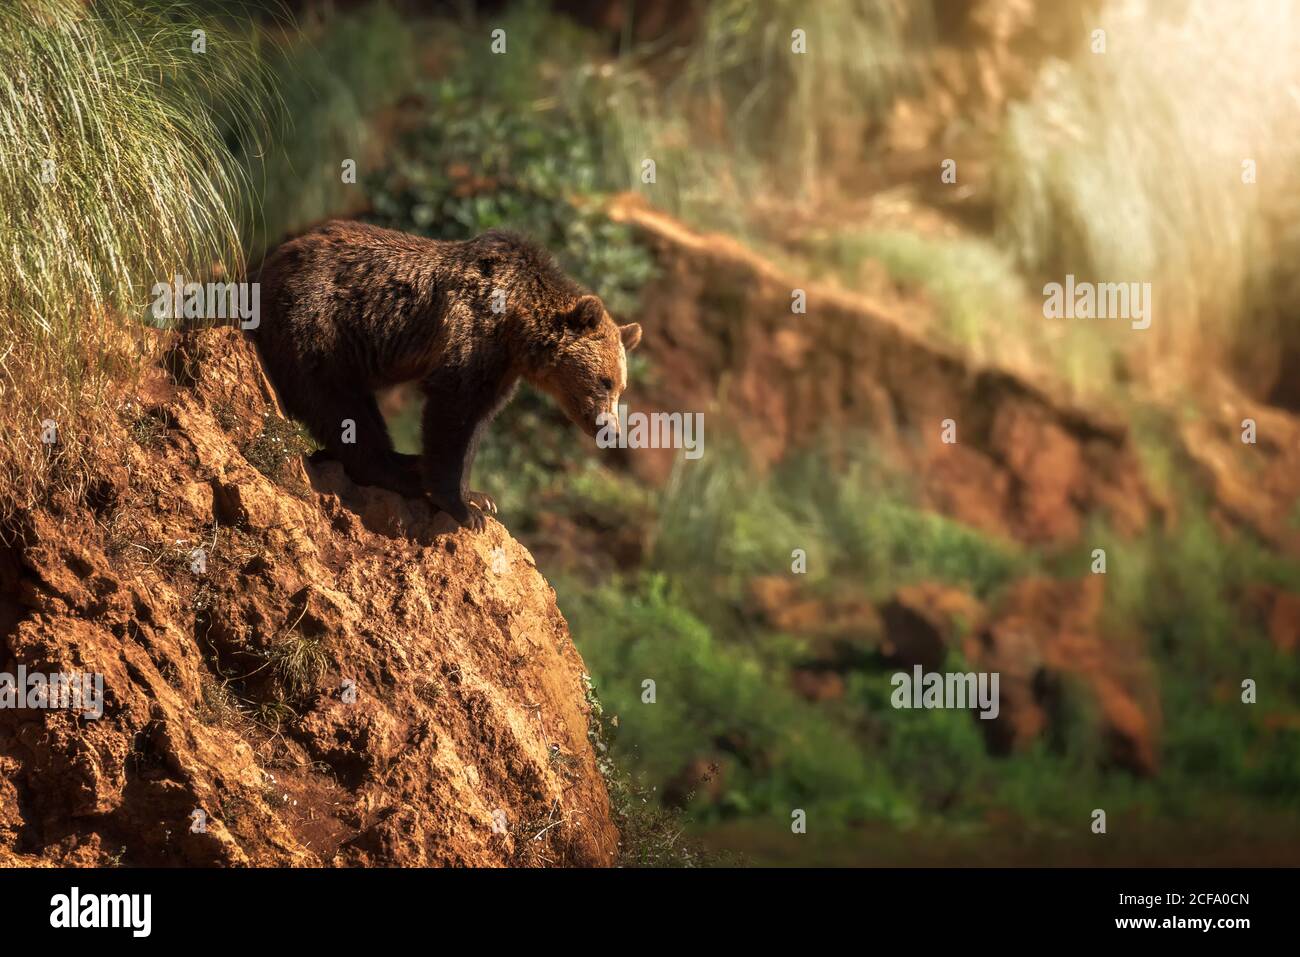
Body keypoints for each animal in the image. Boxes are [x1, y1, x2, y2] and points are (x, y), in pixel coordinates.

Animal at [250, 220, 642, 530]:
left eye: (622, 387)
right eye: (604, 381)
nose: (611, 431)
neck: (516, 326)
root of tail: (265, 266)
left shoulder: (501, 369)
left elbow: (477, 422)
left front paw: (480, 496)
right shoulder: (471, 335)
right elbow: (453, 414)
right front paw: (465, 510)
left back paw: (405, 461)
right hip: (318, 328)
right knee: (338, 406)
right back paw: (397, 473)